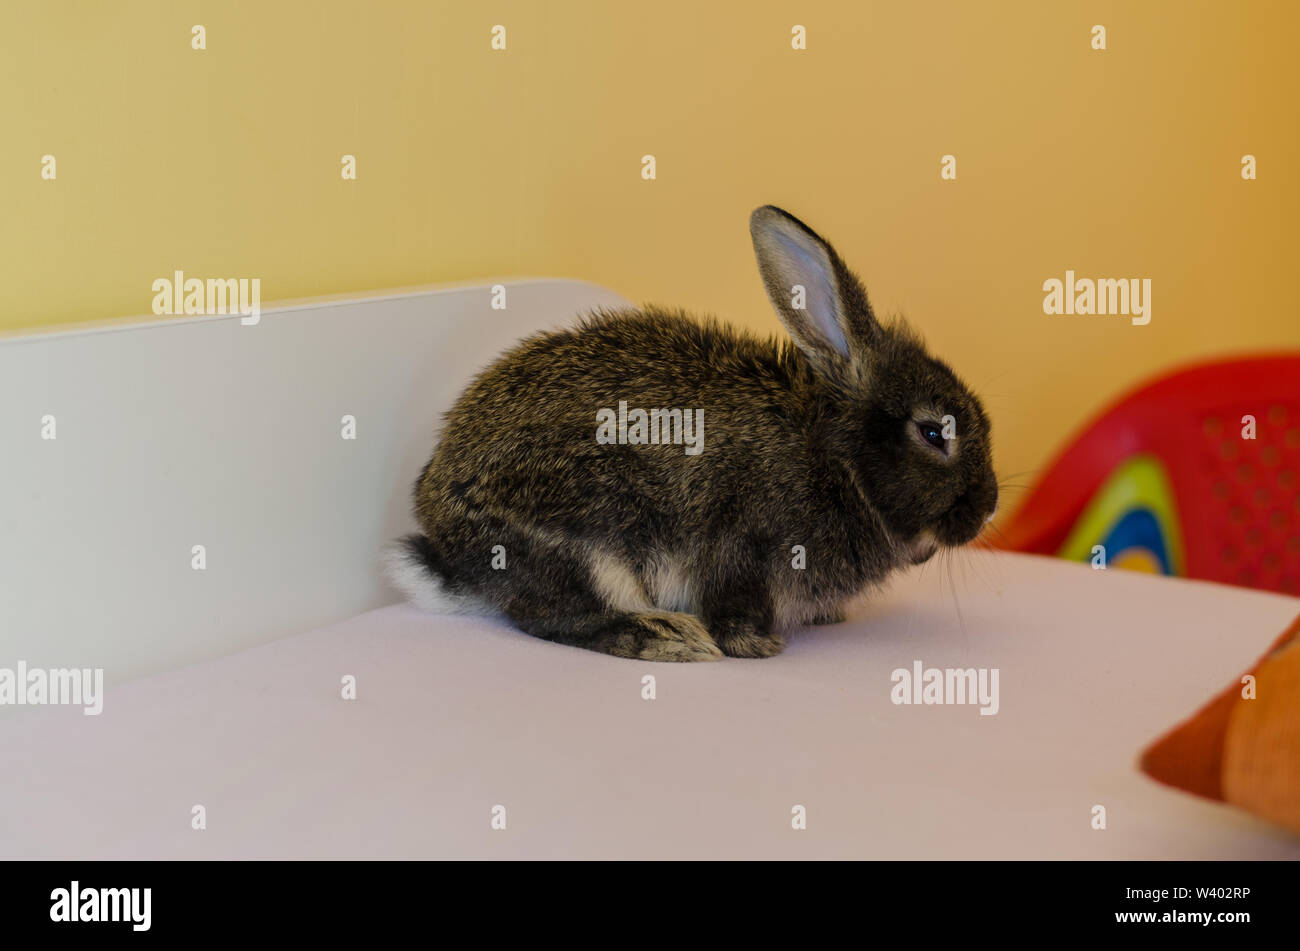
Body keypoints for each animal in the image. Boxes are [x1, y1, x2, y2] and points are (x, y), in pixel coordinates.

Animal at [385, 205, 998, 661]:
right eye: (933, 433)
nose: (990, 505)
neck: (835, 457)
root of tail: (445, 547)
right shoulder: (742, 545)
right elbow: (733, 603)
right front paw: (755, 645)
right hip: (588, 539)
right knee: (557, 618)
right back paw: (664, 636)